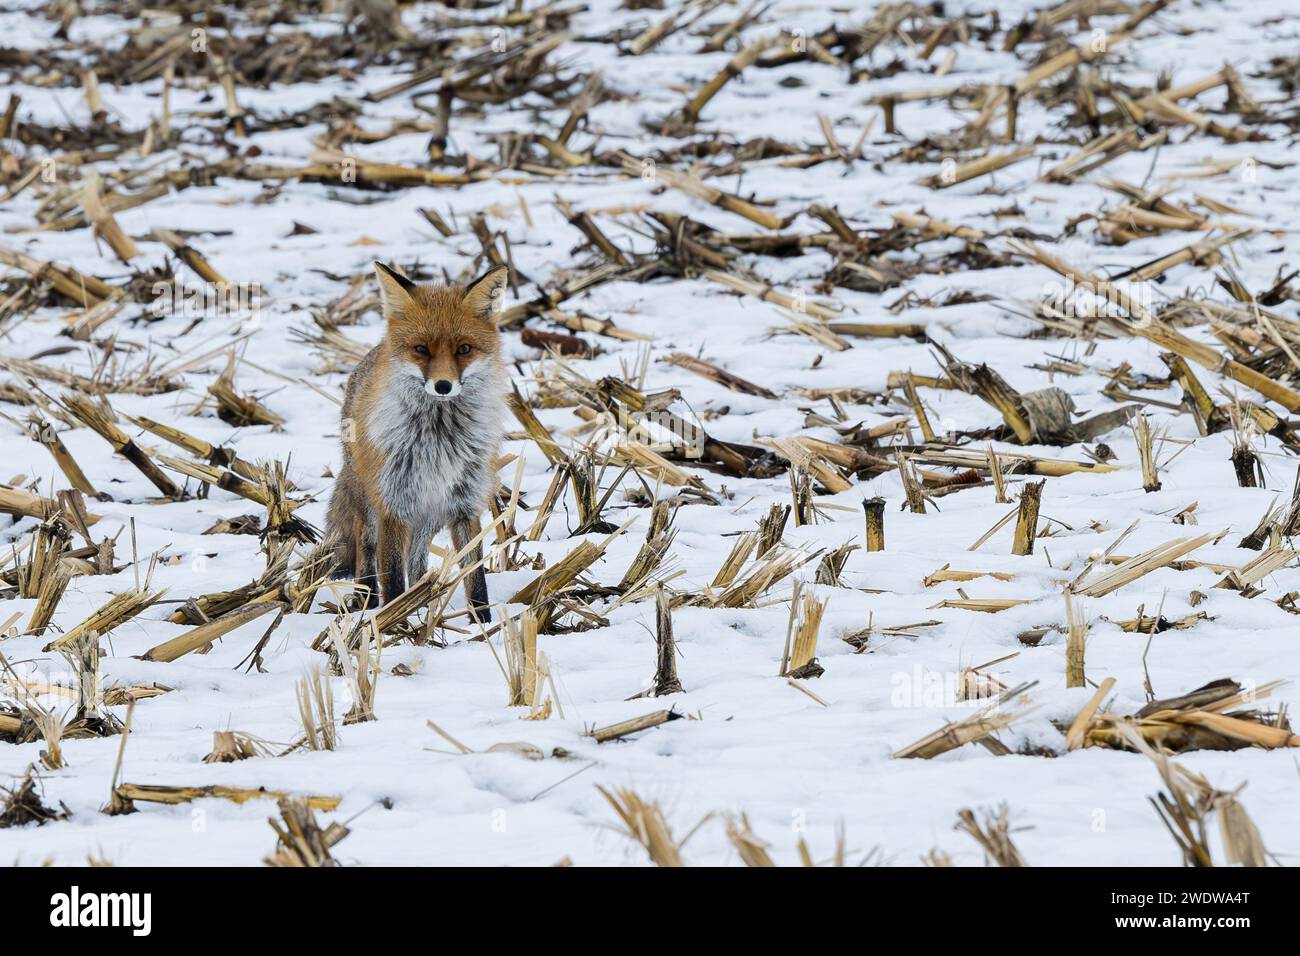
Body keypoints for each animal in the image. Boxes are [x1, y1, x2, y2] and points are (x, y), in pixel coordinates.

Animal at [325, 261, 509, 614]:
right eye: (421, 349)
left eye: (464, 349)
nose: (443, 385)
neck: (439, 438)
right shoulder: (393, 505)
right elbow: (394, 580)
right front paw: (394, 621)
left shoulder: (464, 503)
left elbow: (475, 577)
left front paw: (484, 622)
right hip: (371, 502)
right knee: (366, 546)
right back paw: (366, 599)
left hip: (428, 515)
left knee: (417, 560)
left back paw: (423, 602)